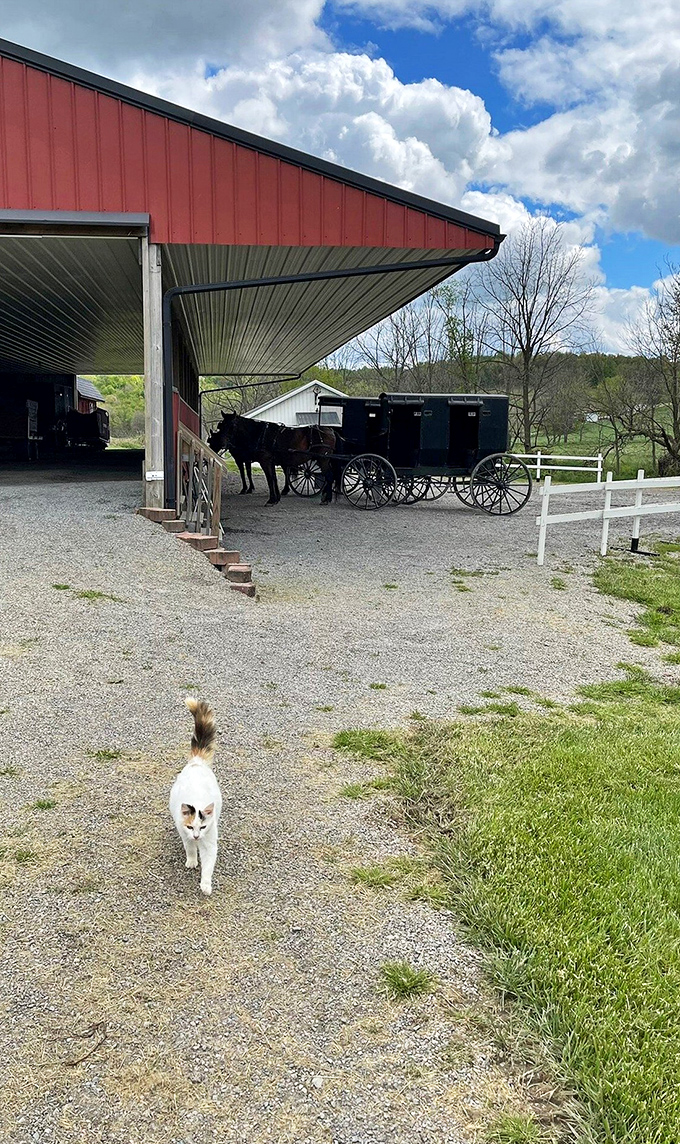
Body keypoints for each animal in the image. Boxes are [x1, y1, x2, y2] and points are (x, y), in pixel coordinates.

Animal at [208, 411, 336, 505]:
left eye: (232, 426)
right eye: (221, 425)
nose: (223, 443)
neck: (259, 434)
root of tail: (330, 430)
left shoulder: (264, 461)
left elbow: (269, 478)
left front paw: (271, 499)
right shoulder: (271, 462)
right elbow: (273, 478)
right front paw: (277, 498)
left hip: (323, 459)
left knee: (329, 476)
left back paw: (326, 499)